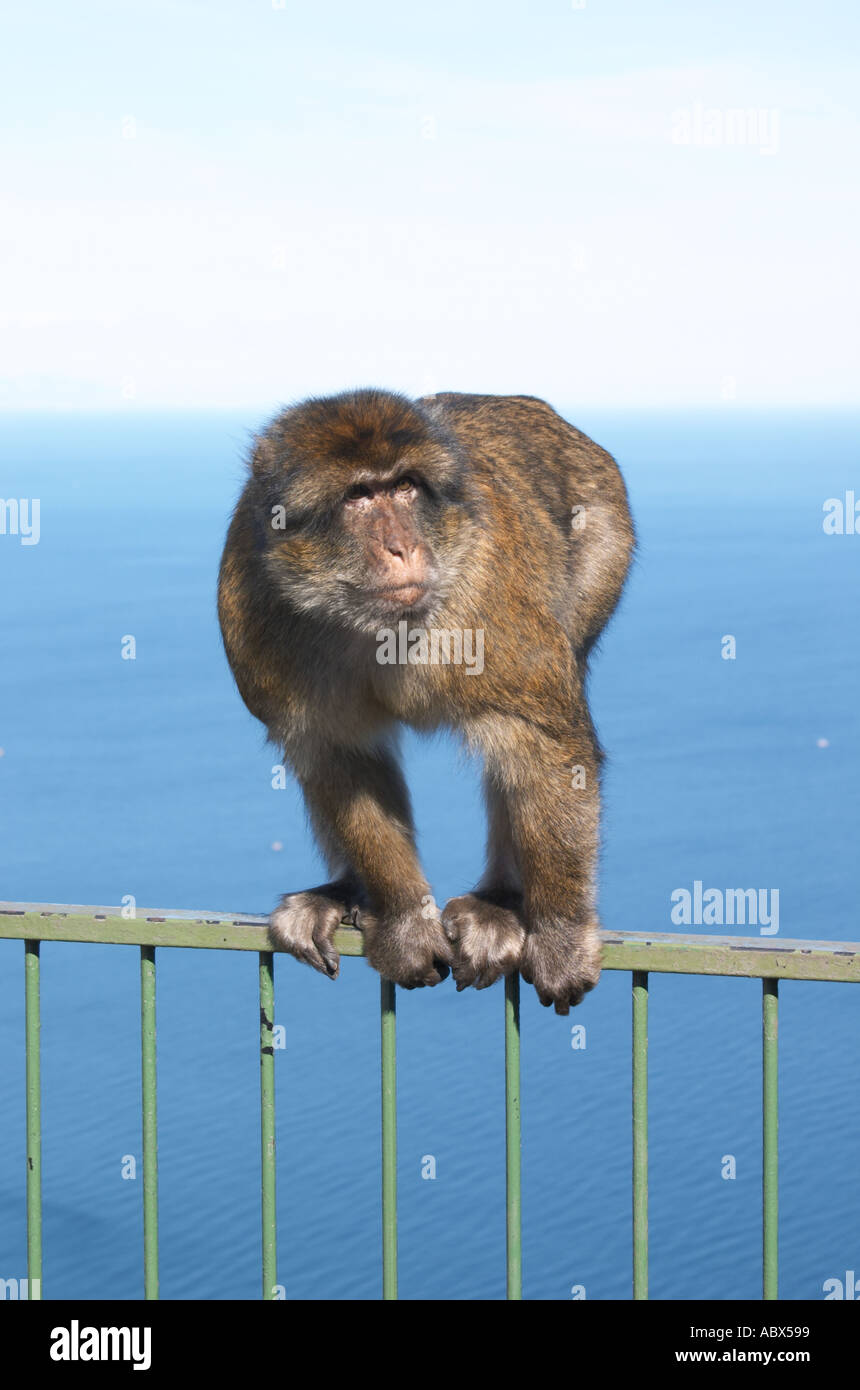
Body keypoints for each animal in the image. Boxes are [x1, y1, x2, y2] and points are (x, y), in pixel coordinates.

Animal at [217, 389, 634, 1014]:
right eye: (360, 496)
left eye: (406, 487)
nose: (404, 546)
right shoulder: (254, 610)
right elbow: (340, 757)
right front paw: (405, 922)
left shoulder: (485, 603)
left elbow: (544, 747)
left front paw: (560, 938)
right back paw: (345, 891)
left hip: (602, 545)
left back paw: (502, 902)